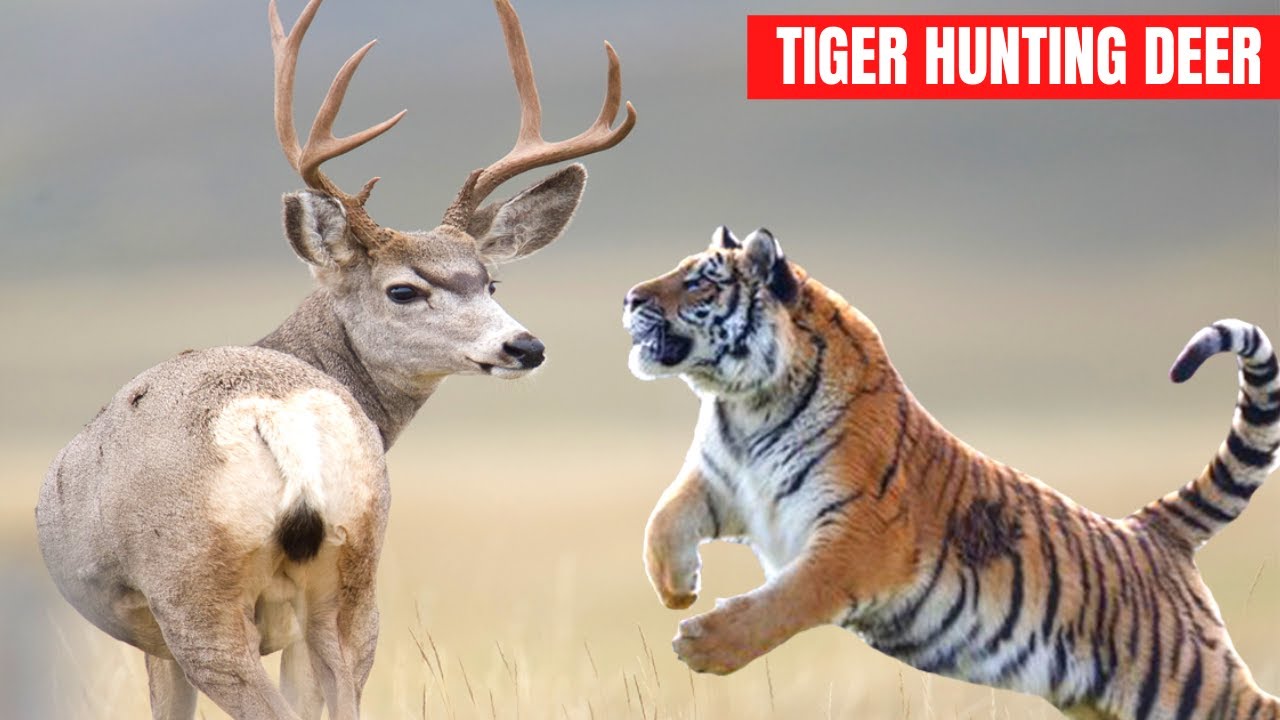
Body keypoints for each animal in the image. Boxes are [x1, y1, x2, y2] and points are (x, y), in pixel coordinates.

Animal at [34, 1, 634, 718]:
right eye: (404, 289)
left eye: (490, 282)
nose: (525, 346)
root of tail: (277, 415)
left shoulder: (152, 632)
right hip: (357, 574)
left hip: (191, 591)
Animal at [623, 225, 1280, 720]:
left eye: (700, 280)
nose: (629, 298)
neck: (746, 404)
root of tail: (1150, 529)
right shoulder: (721, 484)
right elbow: (660, 522)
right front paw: (678, 588)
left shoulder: (855, 539)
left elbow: (786, 599)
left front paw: (704, 644)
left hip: (1191, 686)